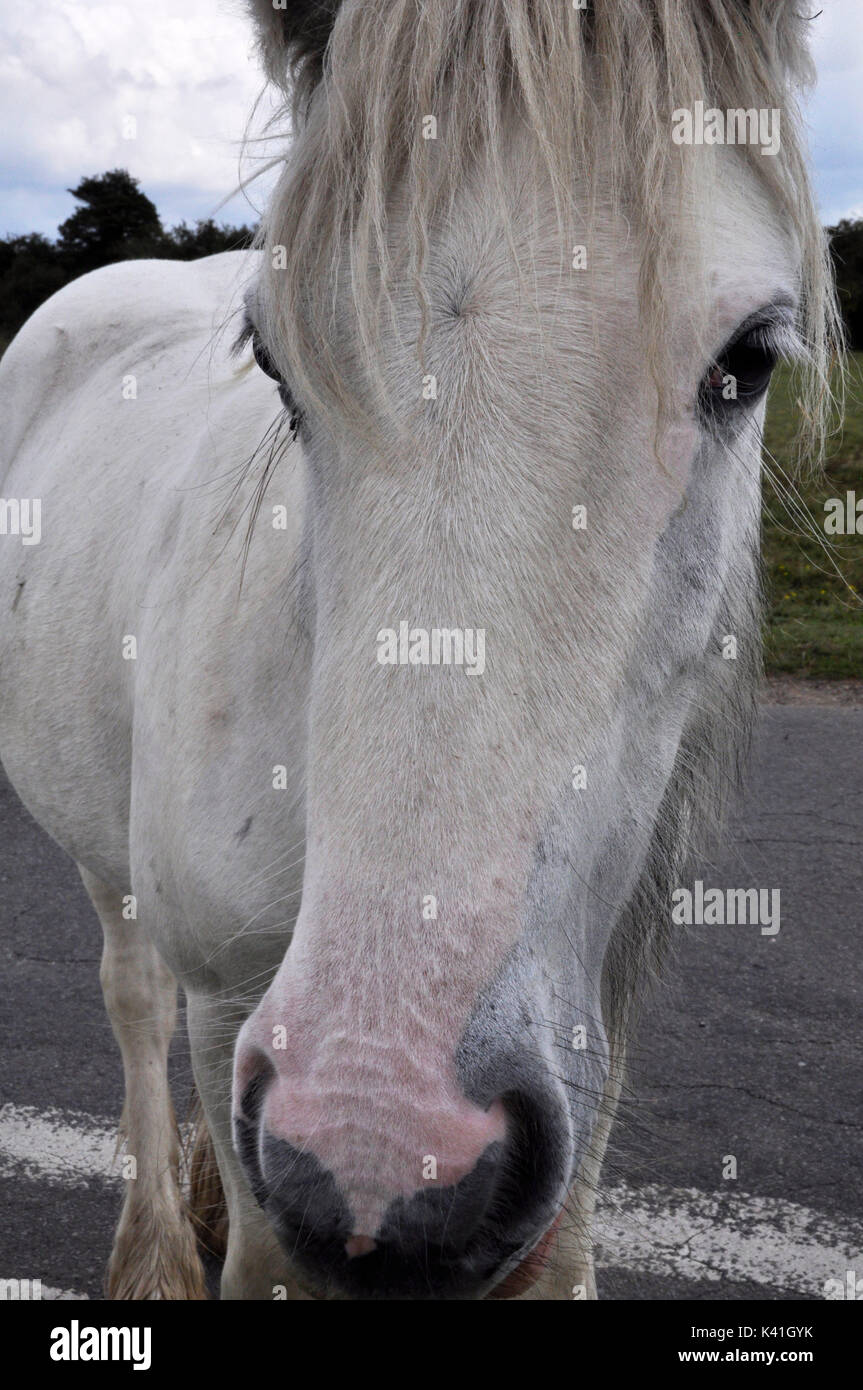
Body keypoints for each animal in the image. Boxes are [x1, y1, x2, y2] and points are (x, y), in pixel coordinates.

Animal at [0, 0, 840, 1300]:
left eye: (747, 359)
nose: (379, 1137)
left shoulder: (592, 1006)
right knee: (131, 997)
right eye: (273, 359)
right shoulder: (228, 1002)